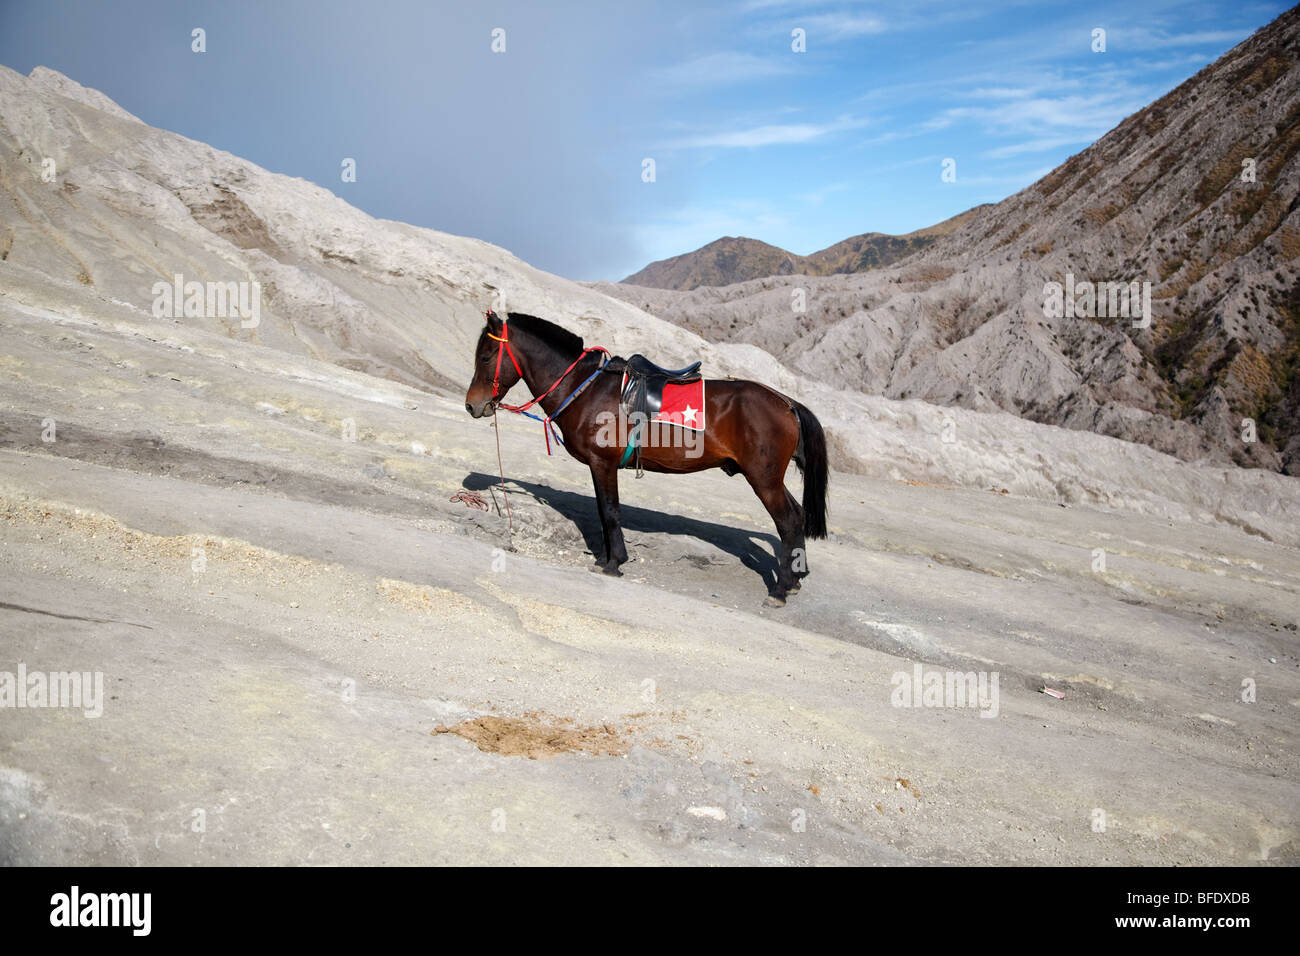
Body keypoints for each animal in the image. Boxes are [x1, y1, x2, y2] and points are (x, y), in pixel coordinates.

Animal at [464, 310, 828, 606]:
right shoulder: (600, 467)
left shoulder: (603, 464)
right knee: (796, 517)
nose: (472, 405)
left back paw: (780, 590)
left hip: (764, 479)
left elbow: (610, 512)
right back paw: (794, 579)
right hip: (771, 479)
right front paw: (607, 559)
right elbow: (603, 512)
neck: (586, 389)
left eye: (486, 356)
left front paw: (614, 563)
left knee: (788, 521)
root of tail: (786, 403)